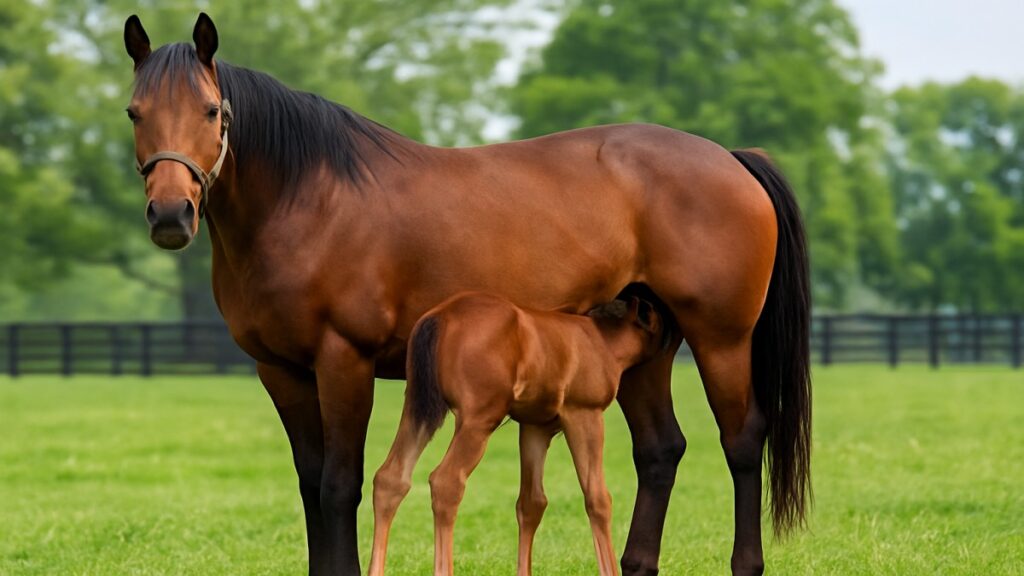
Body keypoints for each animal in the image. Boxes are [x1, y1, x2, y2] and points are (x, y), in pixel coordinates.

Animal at [369, 294, 664, 576]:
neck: (601, 341)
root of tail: (441, 317)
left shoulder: (535, 428)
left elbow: (531, 502)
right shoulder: (584, 415)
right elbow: (598, 498)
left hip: (416, 412)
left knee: (390, 479)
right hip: (478, 421)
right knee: (446, 481)